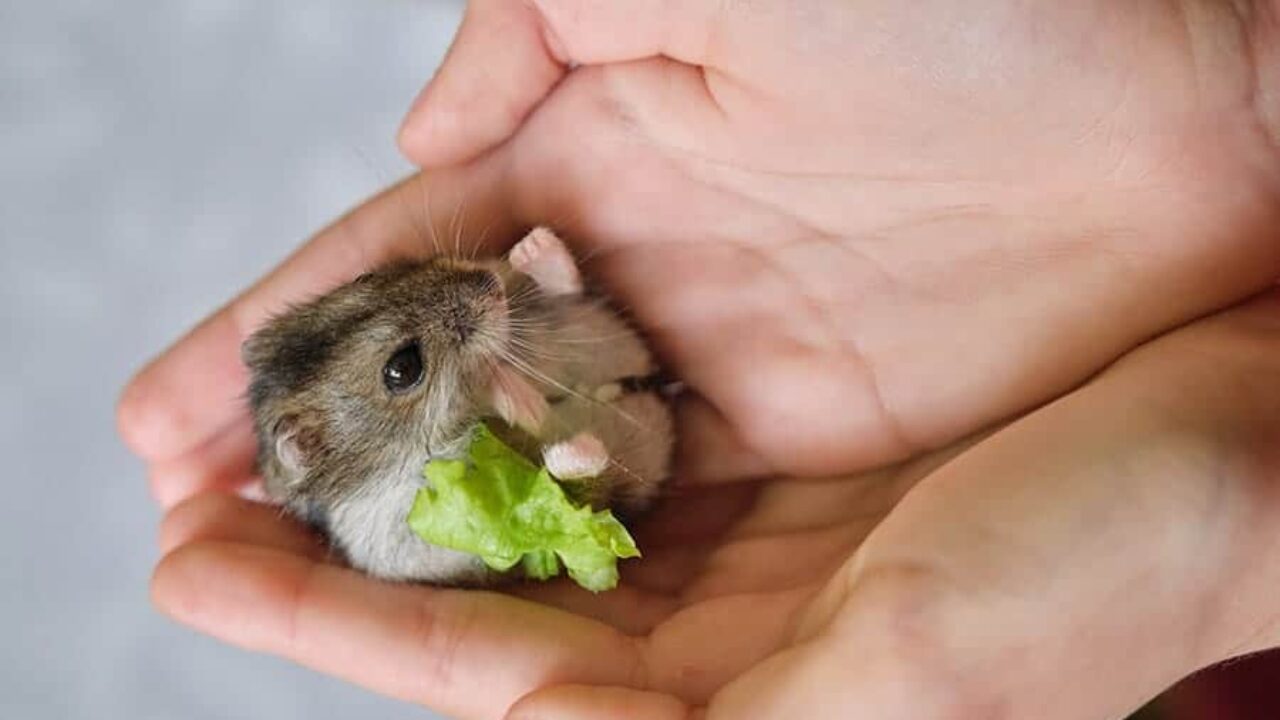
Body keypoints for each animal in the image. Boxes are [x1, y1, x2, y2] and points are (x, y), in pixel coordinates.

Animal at [242, 228, 674, 585]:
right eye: (403, 368)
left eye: (364, 278)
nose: (490, 282)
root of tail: (650, 387)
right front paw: (500, 384)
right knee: (577, 478)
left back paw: (535, 248)